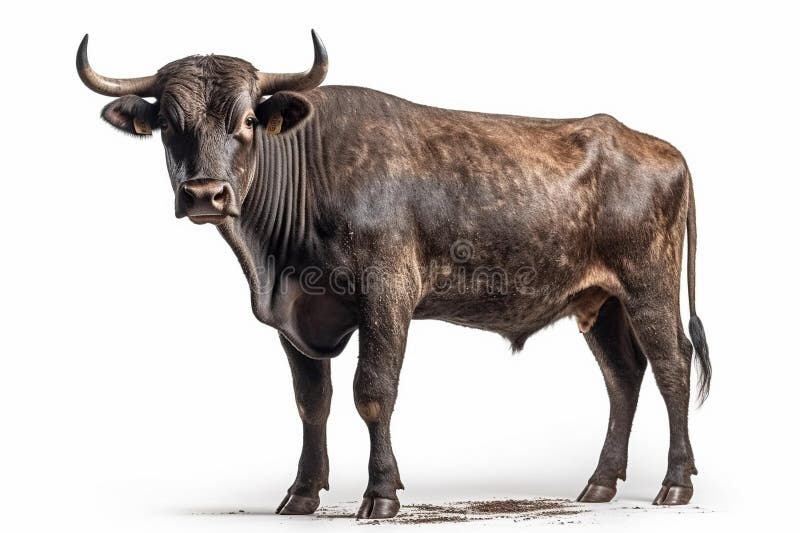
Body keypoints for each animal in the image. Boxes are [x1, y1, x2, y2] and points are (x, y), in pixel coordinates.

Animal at [77, 30, 710, 518]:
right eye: (168, 123)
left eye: (249, 118)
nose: (205, 194)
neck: (275, 260)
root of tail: (662, 149)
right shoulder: (293, 318)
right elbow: (312, 402)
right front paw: (301, 494)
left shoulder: (387, 296)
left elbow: (373, 392)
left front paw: (380, 493)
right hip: (600, 302)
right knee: (623, 377)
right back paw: (599, 484)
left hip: (649, 288)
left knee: (672, 368)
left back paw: (675, 484)